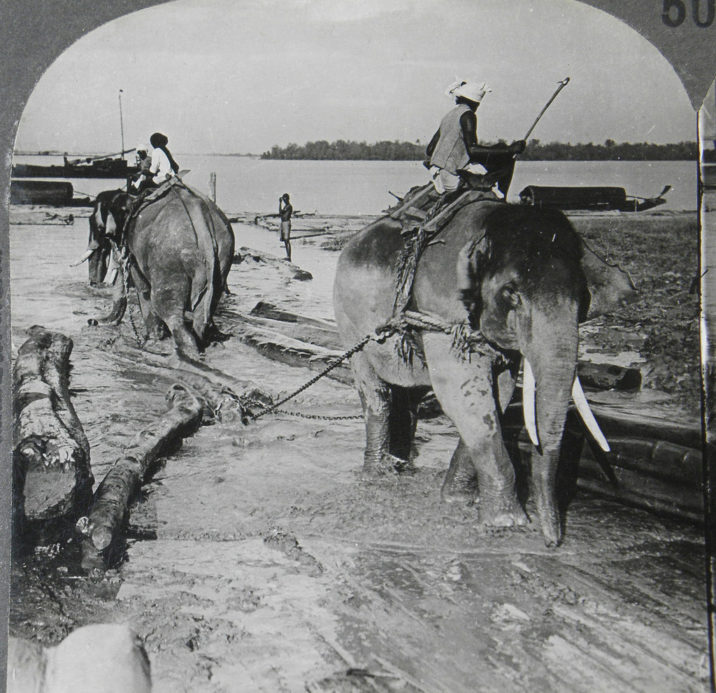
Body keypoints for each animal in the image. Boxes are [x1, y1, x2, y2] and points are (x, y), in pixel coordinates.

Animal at [82, 181, 235, 358]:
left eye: (98, 227)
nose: (92, 321)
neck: (131, 198)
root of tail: (202, 220)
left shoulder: (135, 253)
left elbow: (143, 289)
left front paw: (152, 340)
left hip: (169, 264)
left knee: (167, 309)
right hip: (222, 259)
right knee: (202, 317)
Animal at [333, 199, 635, 547]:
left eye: (582, 297)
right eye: (512, 293)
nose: (552, 542)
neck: (491, 226)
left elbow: (500, 394)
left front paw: (457, 499)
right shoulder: (442, 308)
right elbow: (463, 394)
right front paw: (507, 523)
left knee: (408, 399)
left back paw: (401, 467)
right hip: (349, 323)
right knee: (376, 394)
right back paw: (377, 475)